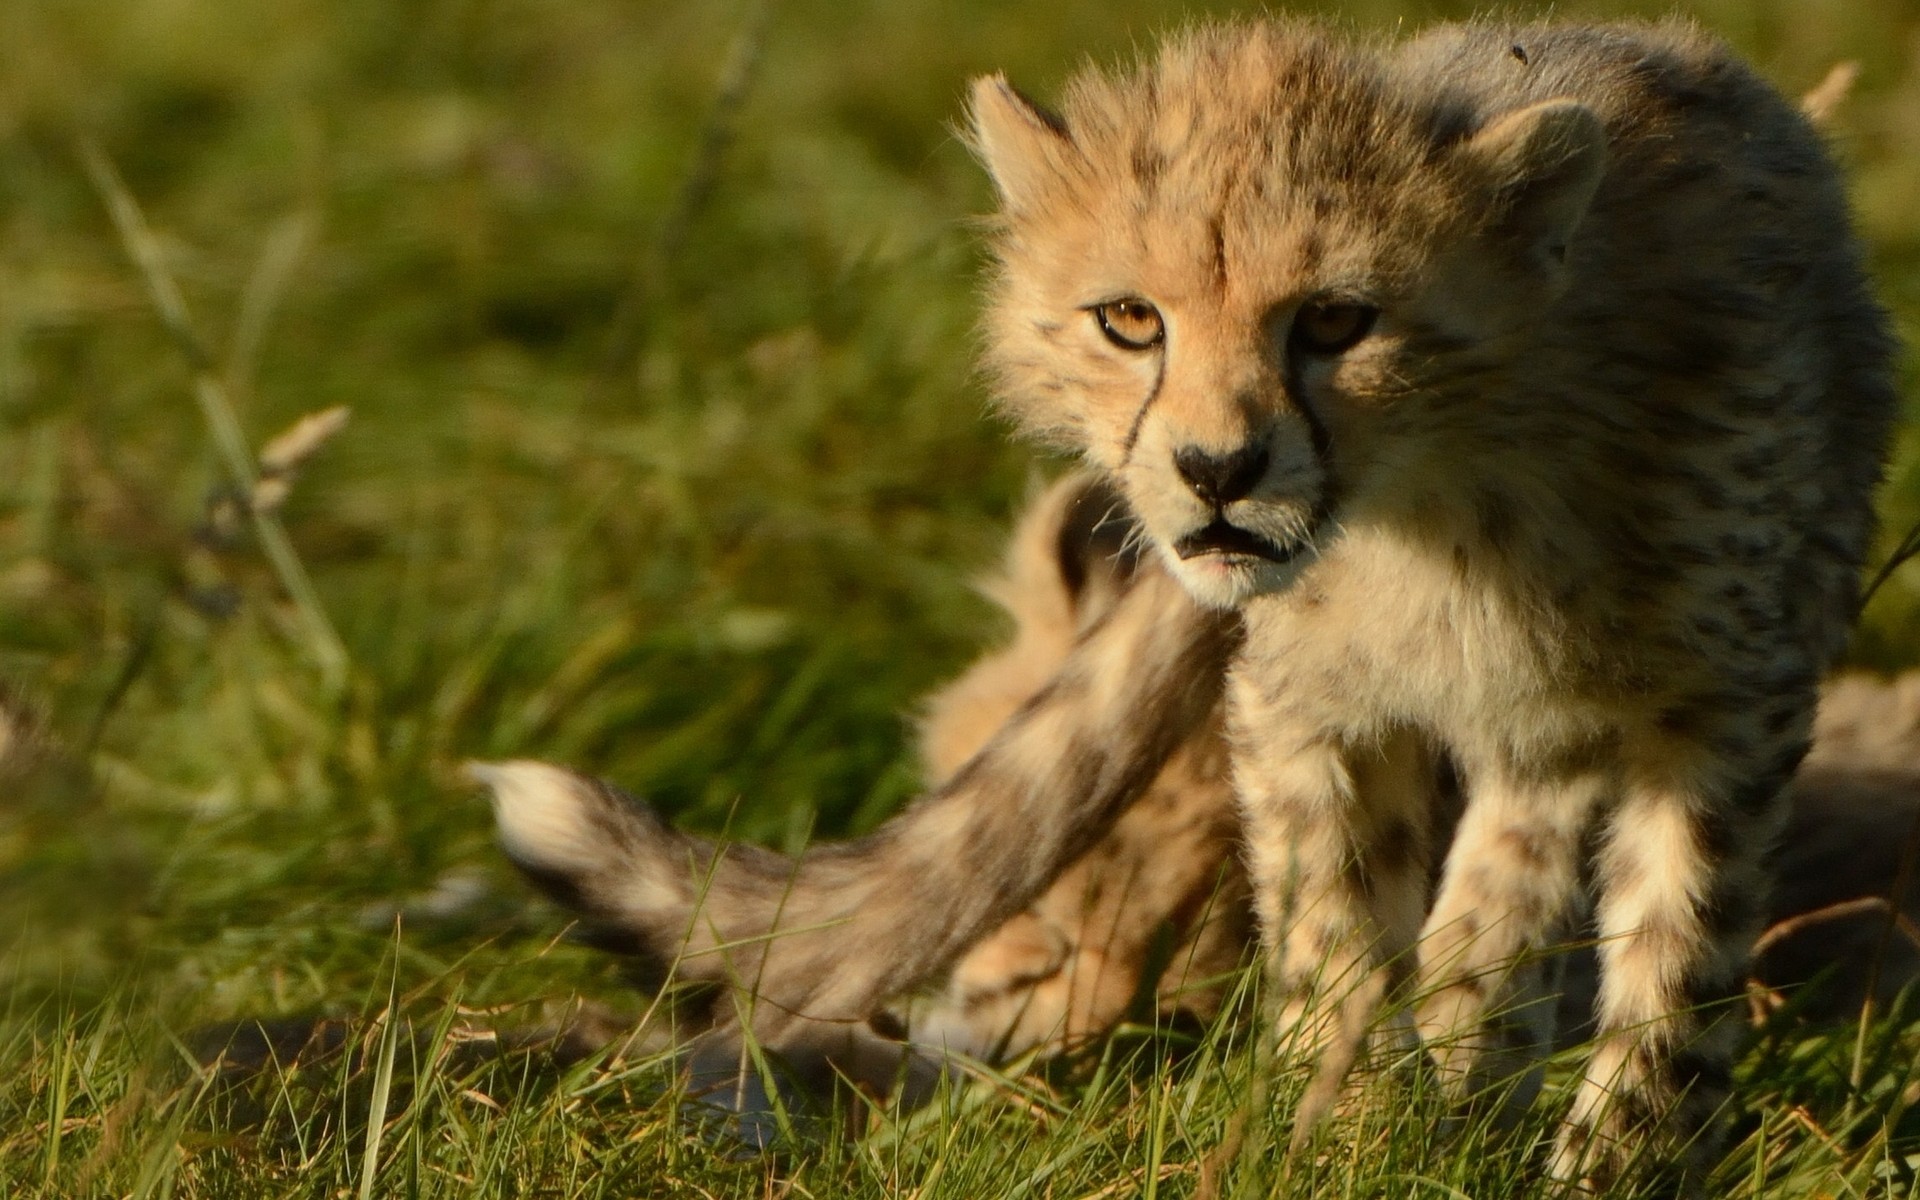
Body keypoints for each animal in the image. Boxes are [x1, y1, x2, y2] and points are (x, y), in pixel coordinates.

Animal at [473, 18, 1898, 1187]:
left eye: (1335, 320)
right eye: (1129, 319)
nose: (1216, 471)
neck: (1443, 503)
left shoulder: (1729, 709)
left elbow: (1680, 954)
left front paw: (1619, 1162)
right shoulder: (1299, 701)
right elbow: (1334, 931)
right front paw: (1356, 1135)